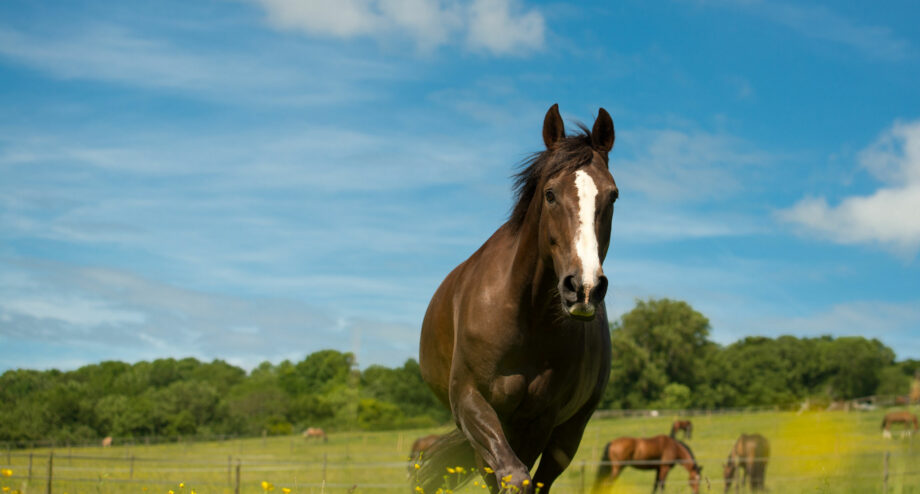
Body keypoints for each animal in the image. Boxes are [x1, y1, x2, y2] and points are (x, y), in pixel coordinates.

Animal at [417, 104, 617, 494]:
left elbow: (524, 477)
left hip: (569, 432)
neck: (524, 315)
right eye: (550, 194)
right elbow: (512, 475)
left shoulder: (539, 417)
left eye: (612, 195)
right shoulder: (469, 401)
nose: (584, 287)